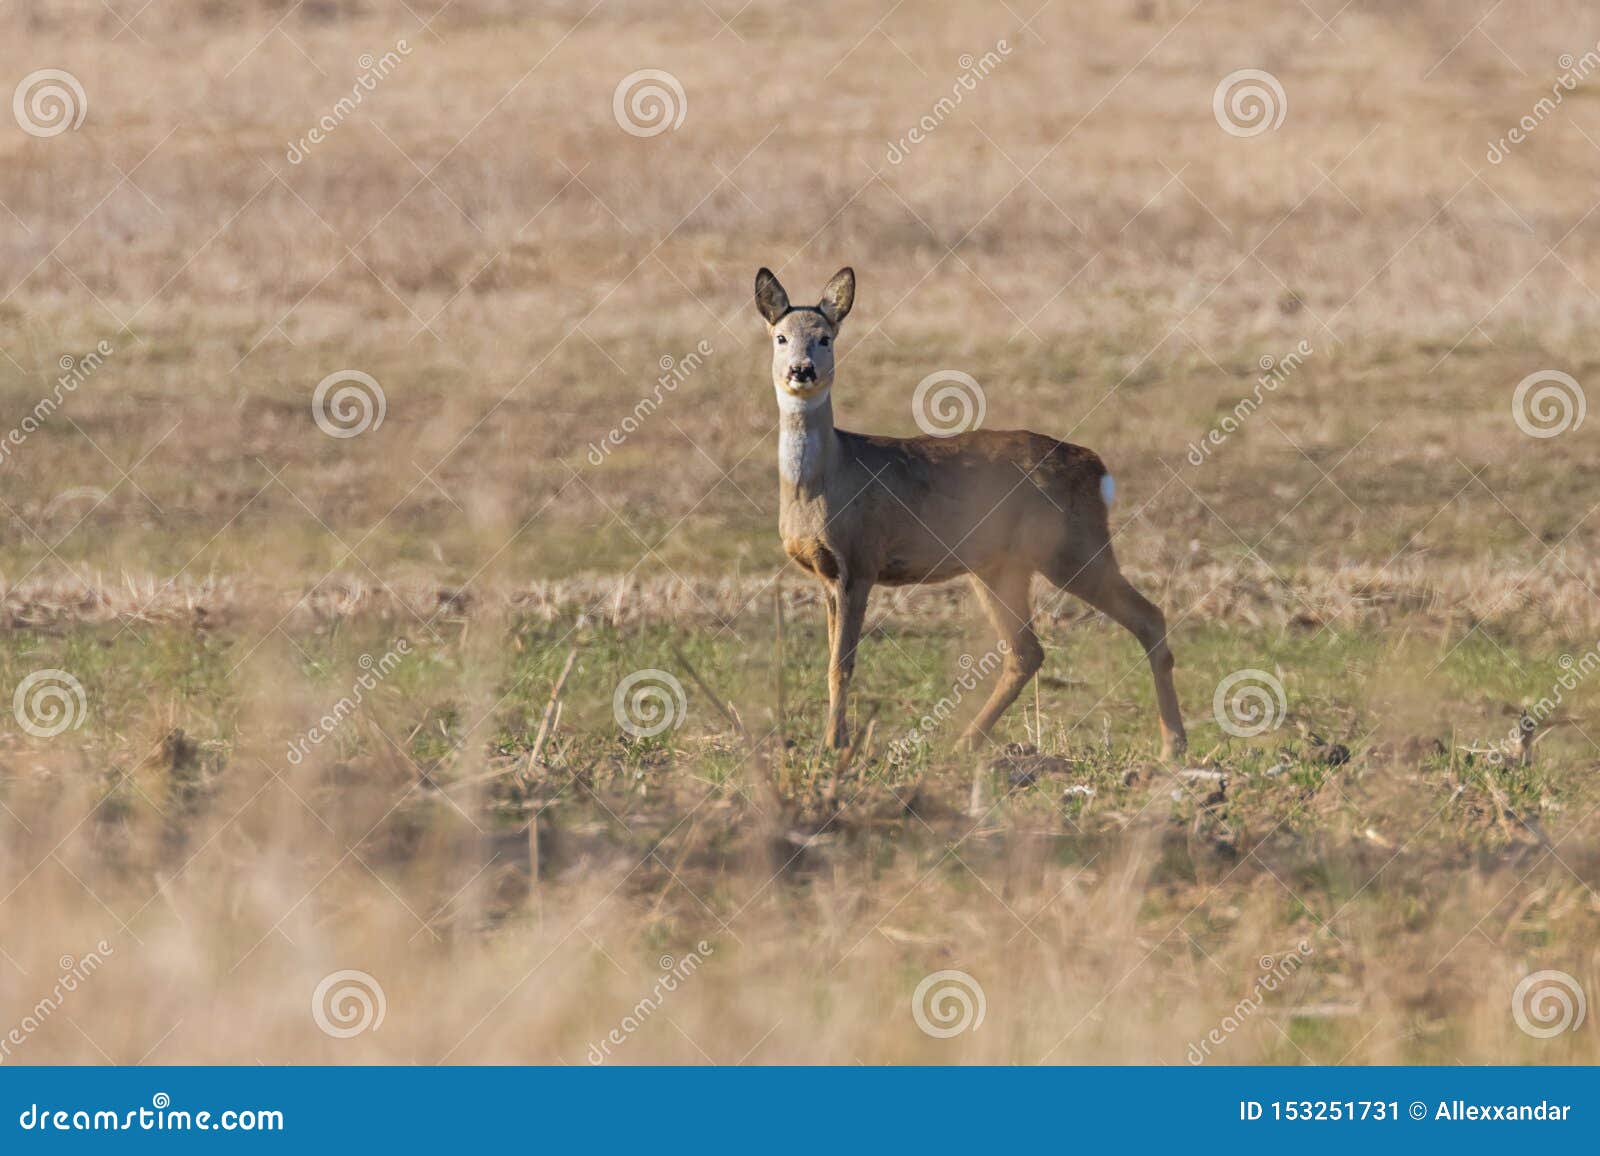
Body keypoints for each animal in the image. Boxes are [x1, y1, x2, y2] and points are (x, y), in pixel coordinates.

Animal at [755, 266, 1187, 761]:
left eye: (825, 337)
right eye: (781, 337)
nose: (801, 370)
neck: (824, 480)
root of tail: (1098, 469)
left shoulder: (860, 561)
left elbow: (842, 663)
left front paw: (833, 746)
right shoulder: (827, 573)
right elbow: (832, 661)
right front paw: (832, 742)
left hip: (1071, 546)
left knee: (1147, 617)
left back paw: (1173, 744)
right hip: (1001, 565)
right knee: (1027, 650)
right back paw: (967, 741)